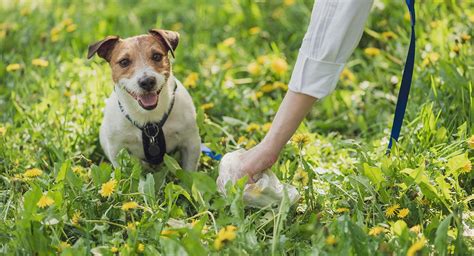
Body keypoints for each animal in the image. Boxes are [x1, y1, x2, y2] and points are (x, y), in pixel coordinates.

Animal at [87, 29, 200, 171]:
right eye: (124, 62)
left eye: (157, 56)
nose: (147, 82)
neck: (149, 119)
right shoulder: (117, 150)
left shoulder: (191, 143)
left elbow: (189, 172)